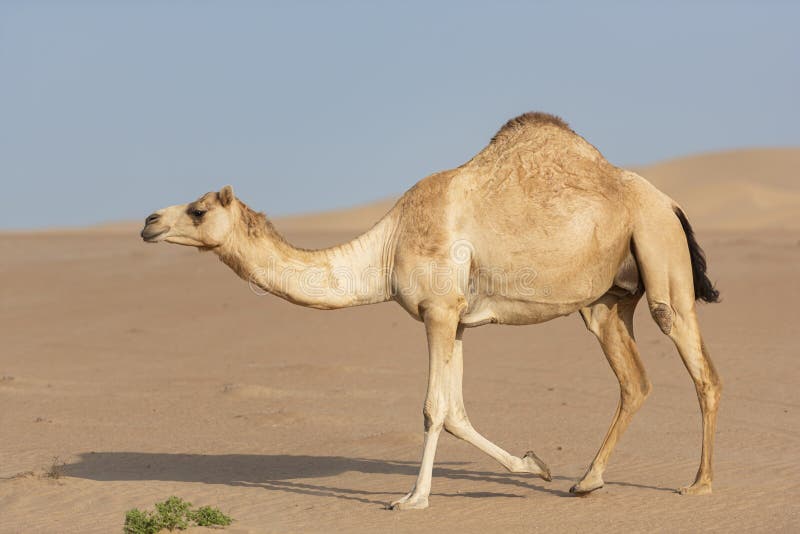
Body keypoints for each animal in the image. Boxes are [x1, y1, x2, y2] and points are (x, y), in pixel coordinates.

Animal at [141, 112, 721, 510]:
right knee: (634, 380)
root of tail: (671, 203)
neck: (387, 244)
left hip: (659, 252)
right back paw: (586, 480)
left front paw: (411, 499)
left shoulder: (439, 310)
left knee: (701, 369)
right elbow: (458, 410)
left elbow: (433, 408)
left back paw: (699, 484)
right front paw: (535, 466)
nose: (148, 221)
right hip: (605, 300)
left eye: (198, 210)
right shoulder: (456, 317)